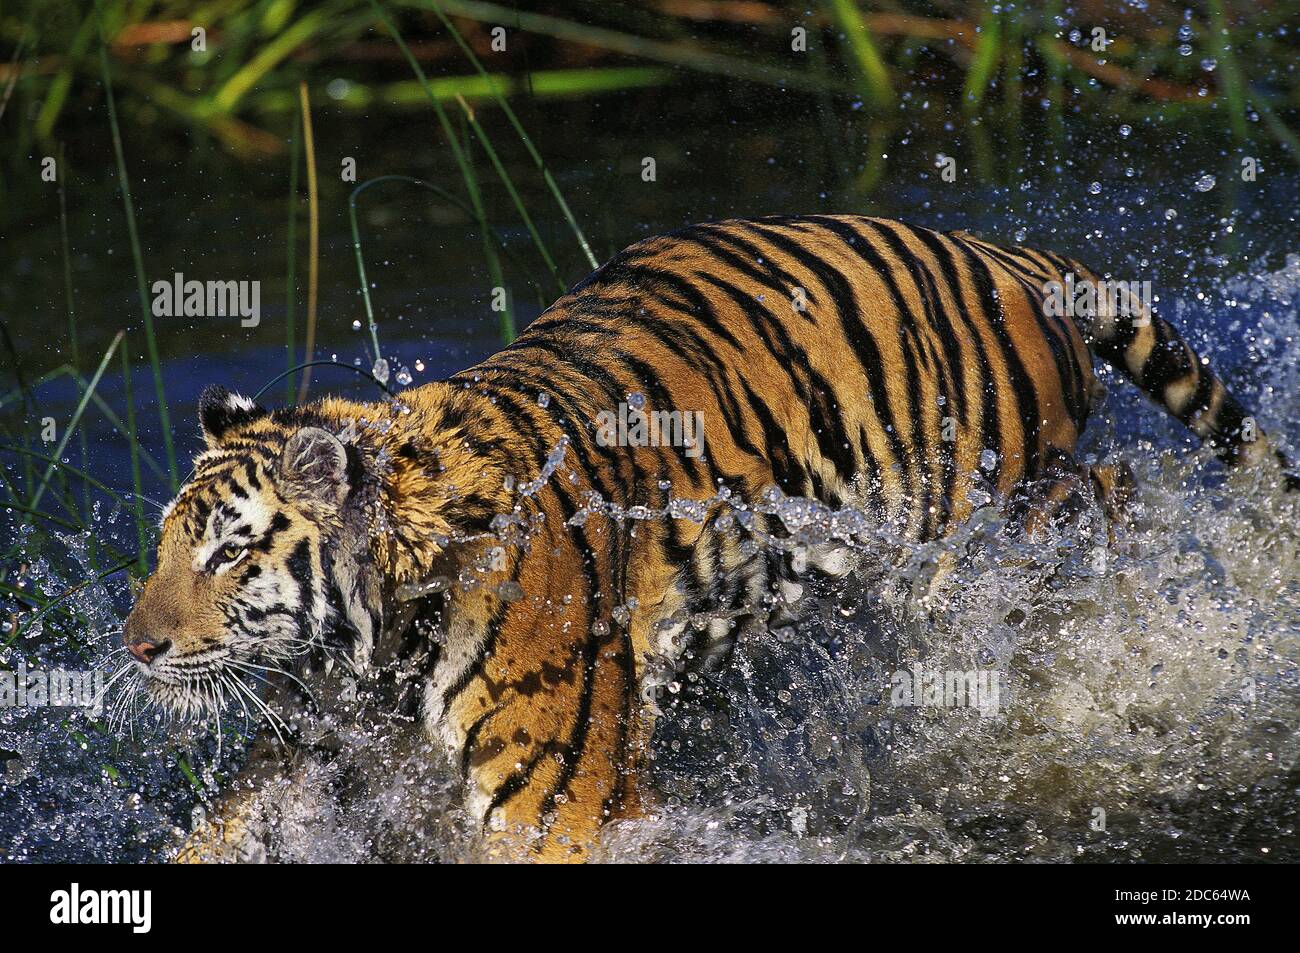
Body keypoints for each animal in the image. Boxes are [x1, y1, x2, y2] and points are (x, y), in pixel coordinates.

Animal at [121, 215, 1295, 863]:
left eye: (229, 551)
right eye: (167, 547)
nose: (133, 648)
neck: (382, 640)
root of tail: (996, 248)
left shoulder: (556, 808)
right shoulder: (315, 749)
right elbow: (216, 834)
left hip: (989, 514)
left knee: (1107, 490)